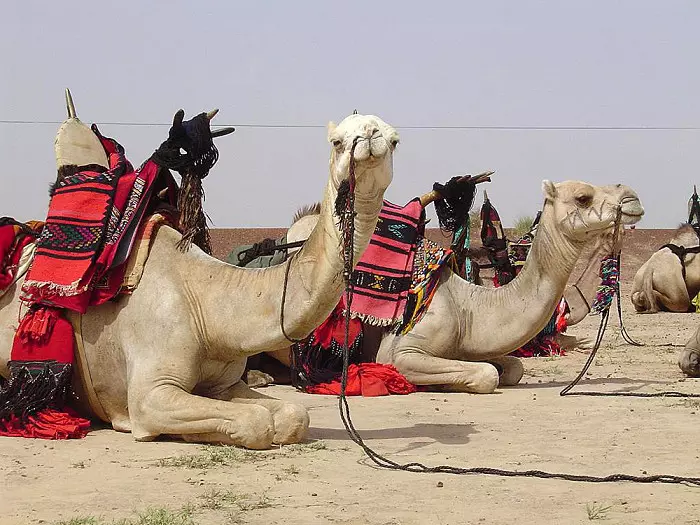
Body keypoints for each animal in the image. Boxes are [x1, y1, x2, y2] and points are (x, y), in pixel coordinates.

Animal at [0, 110, 396, 446]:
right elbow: (254, 422)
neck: (206, 303)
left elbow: (293, 415)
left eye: (393, 139)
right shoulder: (151, 393)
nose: (370, 135)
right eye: (337, 141)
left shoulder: (225, 384)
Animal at [270, 180, 644, 388]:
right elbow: (486, 375)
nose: (632, 199)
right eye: (583, 197)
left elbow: (513, 367)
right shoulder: (403, 352)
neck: (470, 307)